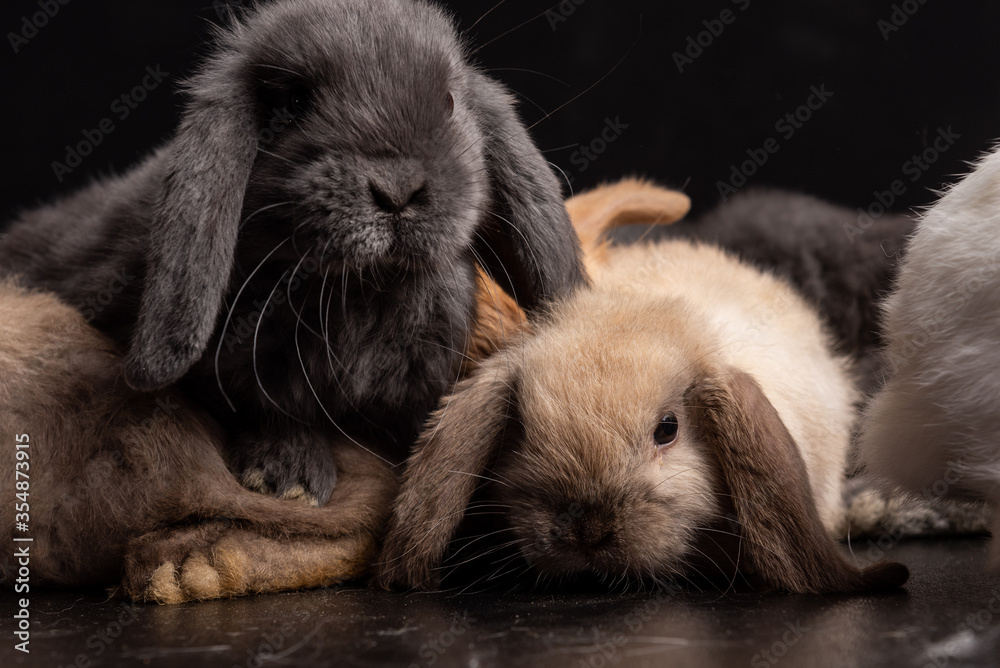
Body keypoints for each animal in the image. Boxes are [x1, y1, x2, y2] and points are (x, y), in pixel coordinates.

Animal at [0, 0, 585, 508]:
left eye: (448, 101)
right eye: (295, 103)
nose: (398, 189)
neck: (363, 291)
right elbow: (263, 407)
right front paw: (287, 479)